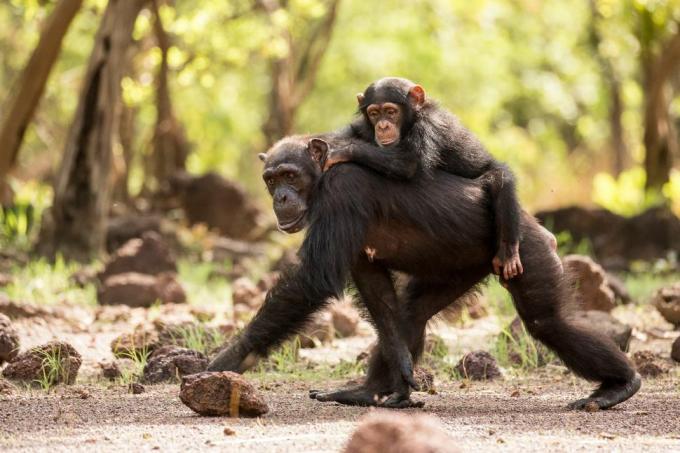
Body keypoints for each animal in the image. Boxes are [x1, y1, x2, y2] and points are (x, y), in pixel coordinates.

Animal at [209, 135, 644, 410]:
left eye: (290, 175)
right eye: (270, 179)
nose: (281, 196)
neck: (323, 175)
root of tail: (537, 228)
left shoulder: (342, 194)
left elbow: (314, 277)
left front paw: (229, 358)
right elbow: (374, 287)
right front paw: (399, 373)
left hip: (527, 252)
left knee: (548, 322)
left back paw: (619, 385)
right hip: (457, 269)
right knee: (410, 313)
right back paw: (366, 392)